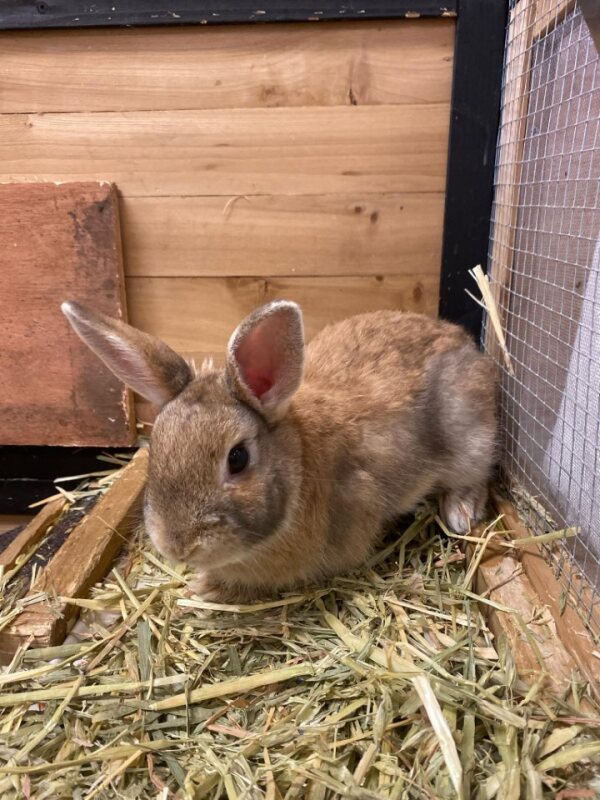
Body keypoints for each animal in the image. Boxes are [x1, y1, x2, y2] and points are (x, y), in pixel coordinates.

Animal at [61, 300, 497, 602]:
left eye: (237, 459)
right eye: (156, 450)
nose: (177, 545)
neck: (301, 461)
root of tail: (463, 341)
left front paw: (209, 588)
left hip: (469, 436)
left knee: (475, 475)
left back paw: (460, 514)